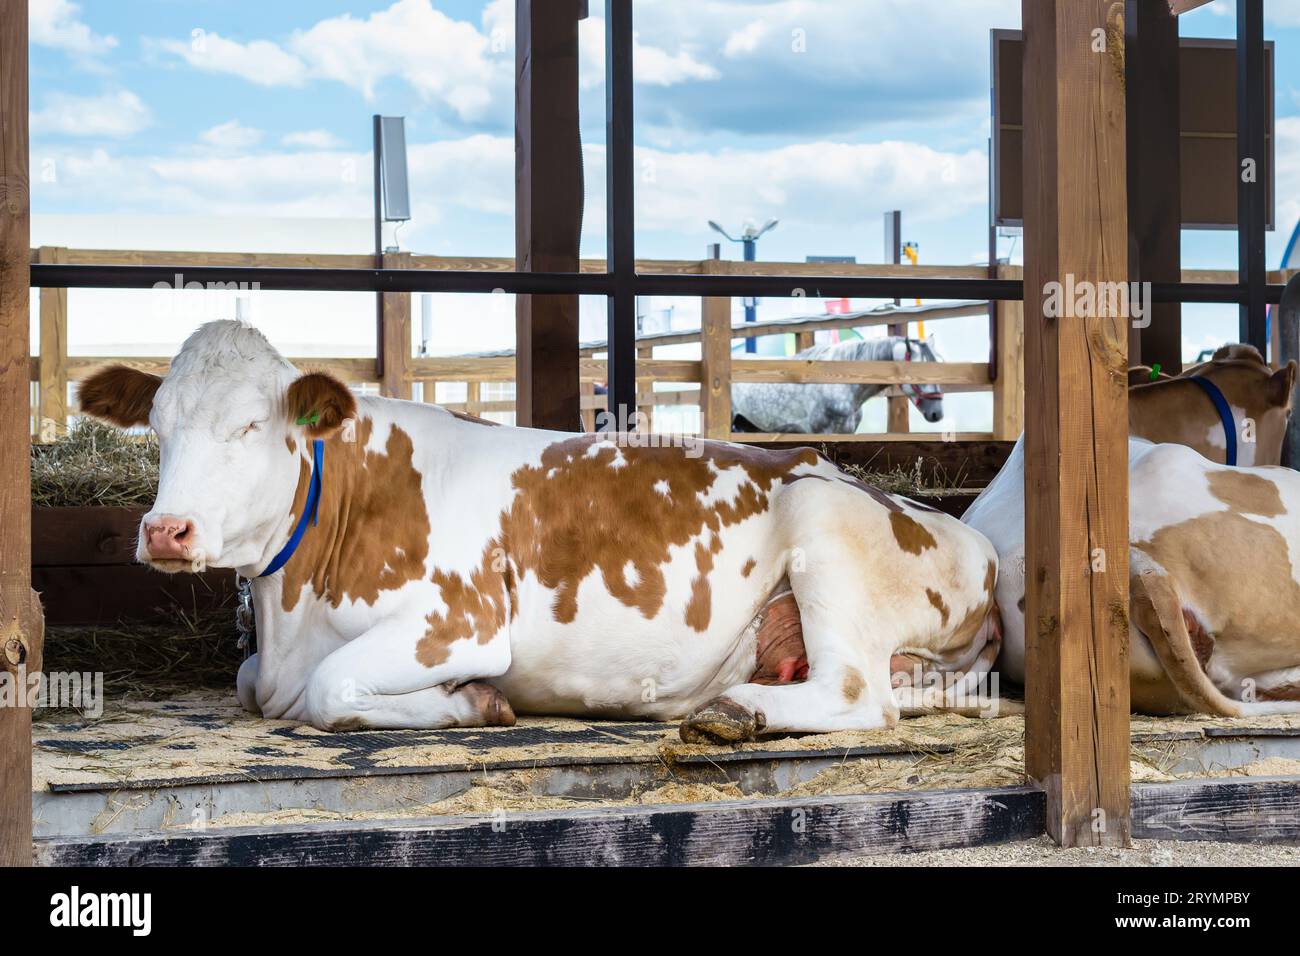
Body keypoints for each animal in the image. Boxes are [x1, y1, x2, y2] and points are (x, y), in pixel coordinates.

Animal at [77, 320, 1001, 740]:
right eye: (157, 425)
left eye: (250, 428)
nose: (167, 530)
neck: (289, 608)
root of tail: (976, 543)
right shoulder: (264, 664)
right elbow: (252, 683)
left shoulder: (460, 621)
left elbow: (330, 691)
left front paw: (472, 703)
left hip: (822, 528)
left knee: (856, 694)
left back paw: (733, 708)